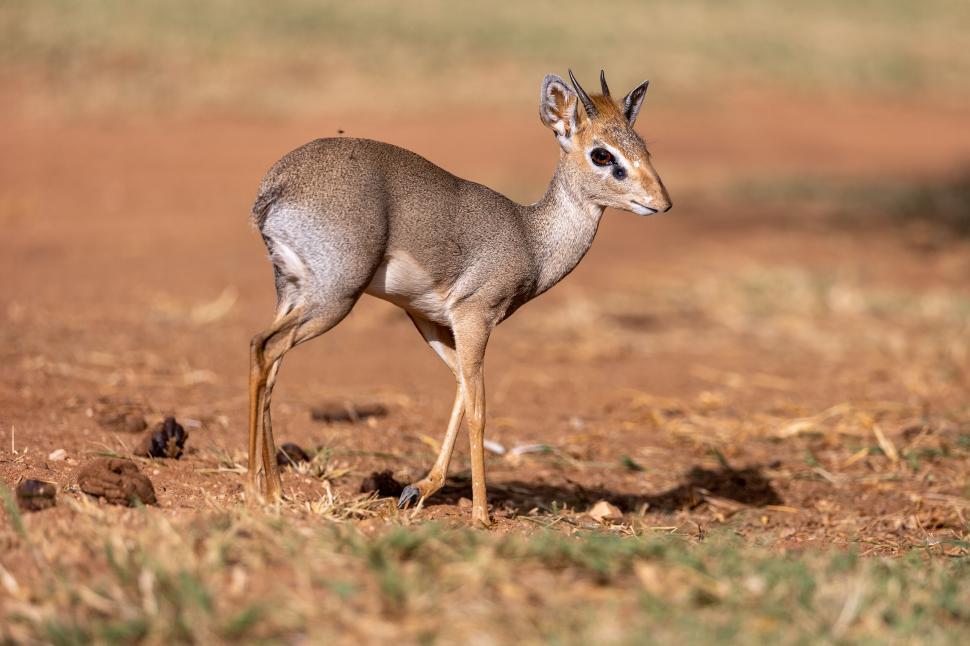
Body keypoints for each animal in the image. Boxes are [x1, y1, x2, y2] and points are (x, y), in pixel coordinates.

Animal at [248, 70, 671, 526]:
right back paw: (255, 491)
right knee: (262, 346)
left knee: (270, 362)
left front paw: (419, 489)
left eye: (642, 145)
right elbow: (479, 409)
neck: (531, 238)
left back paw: (274, 492)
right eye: (602, 155)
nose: (661, 203)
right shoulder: (475, 317)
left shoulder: (432, 320)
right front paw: (481, 516)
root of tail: (277, 186)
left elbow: (461, 392)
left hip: (293, 294)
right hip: (334, 299)